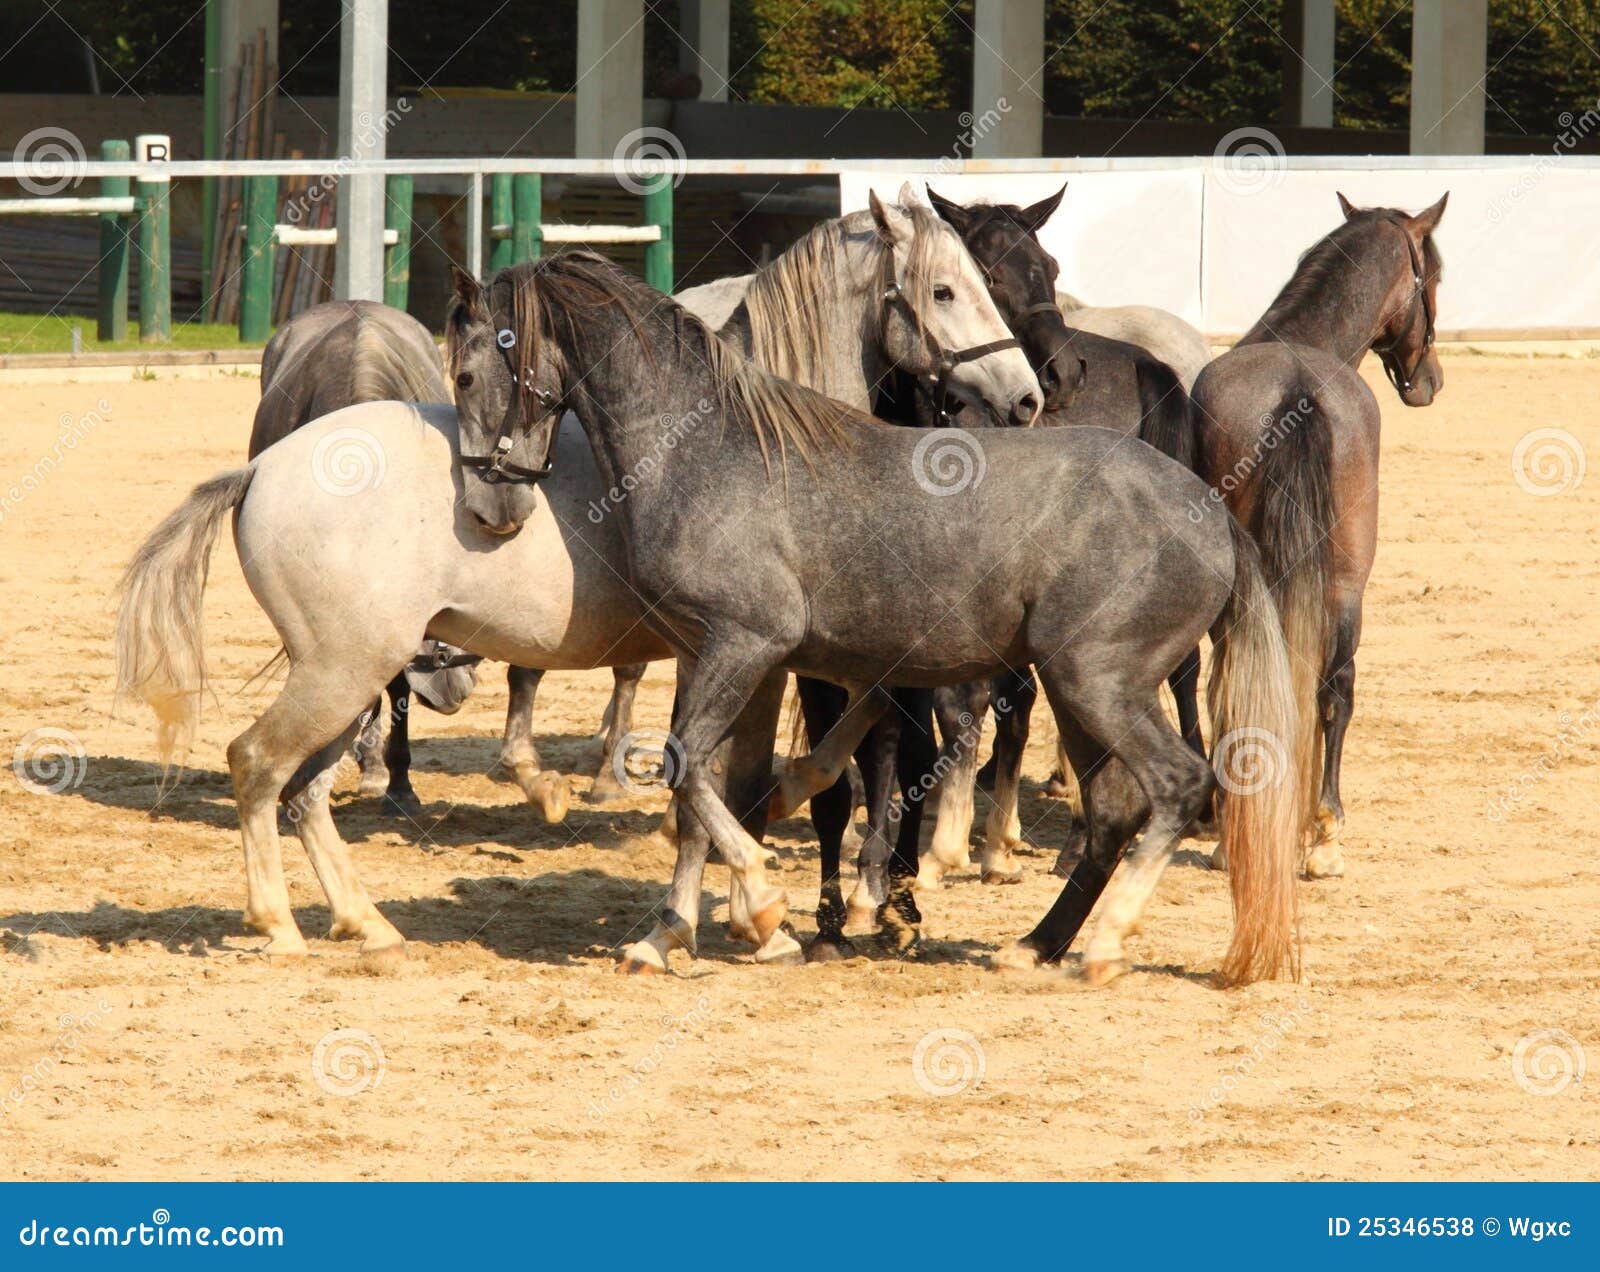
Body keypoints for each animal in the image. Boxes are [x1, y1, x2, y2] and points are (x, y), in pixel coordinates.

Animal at [112, 192, 1039, 961]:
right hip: (344, 669)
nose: (1025, 397)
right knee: (260, 765)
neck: (751, 439)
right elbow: (741, 784)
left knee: (304, 790)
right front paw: (750, 913)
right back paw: (278, 923)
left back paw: (366, 923)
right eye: (947, 291)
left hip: (352, 673)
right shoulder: (762, 657)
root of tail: (260, 472)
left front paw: (710, 913)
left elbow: (746, 777)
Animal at [456, 249, 1305, 987]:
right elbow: (696, 791)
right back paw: (1034, 946)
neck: (707, 453)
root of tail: (1206, 508)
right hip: (1079, 690)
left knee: (1178, 784)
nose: (494, 495)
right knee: (1112, 811)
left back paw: (1102, 944)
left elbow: (693, 767)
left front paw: (766, 913)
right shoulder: (704, 654)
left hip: (1100, 683)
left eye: (465, 372)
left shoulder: (745, 646)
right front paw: (665, 936)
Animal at [1191, 192, 1447, 881]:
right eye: (1436, 278)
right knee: (1320, 687)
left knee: (1276, 684)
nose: (1430, 379)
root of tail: (1297, 390)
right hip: (1337, 585)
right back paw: (1318, 829)